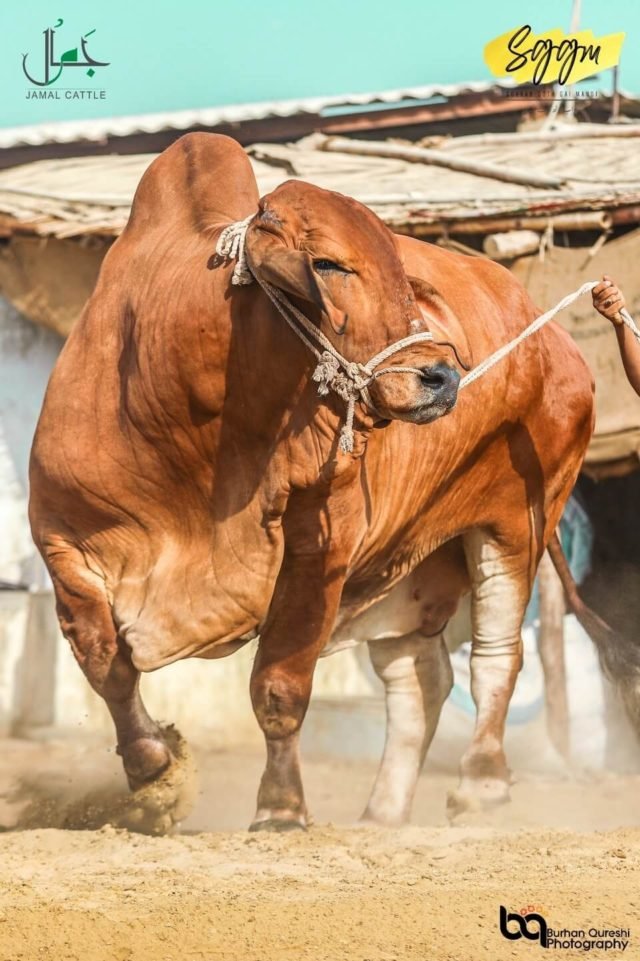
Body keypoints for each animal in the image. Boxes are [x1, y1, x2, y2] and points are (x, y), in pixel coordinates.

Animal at [29, 133, 593, 831]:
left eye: (403, 272)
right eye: (327, 264)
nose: (442, 376)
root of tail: (557, 340)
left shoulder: (320, 545)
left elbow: (278, 685)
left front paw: (280, 807)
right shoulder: (59, 537)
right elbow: (106, 659)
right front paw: (154, 769)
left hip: (517, 523)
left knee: (496, 656)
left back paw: (481, 784)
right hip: (411, 574)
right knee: (420, 678)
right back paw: (382, 814)